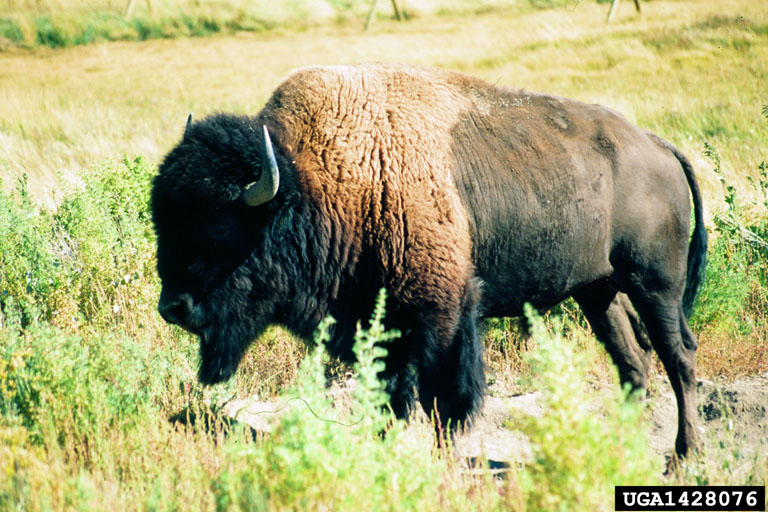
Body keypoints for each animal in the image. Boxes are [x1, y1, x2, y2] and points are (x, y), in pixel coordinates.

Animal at [151, 63, 706, 457]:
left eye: (220, 227)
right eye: (163, 221)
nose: (172, 308)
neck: (318, 181)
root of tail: (658, 147)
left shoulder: (443, 315)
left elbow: (442, 400)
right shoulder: (378, 326)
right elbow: (389, 400)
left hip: (655, 284)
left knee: (678, 359)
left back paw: (684, 456)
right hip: (599, 291)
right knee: (633, 362)